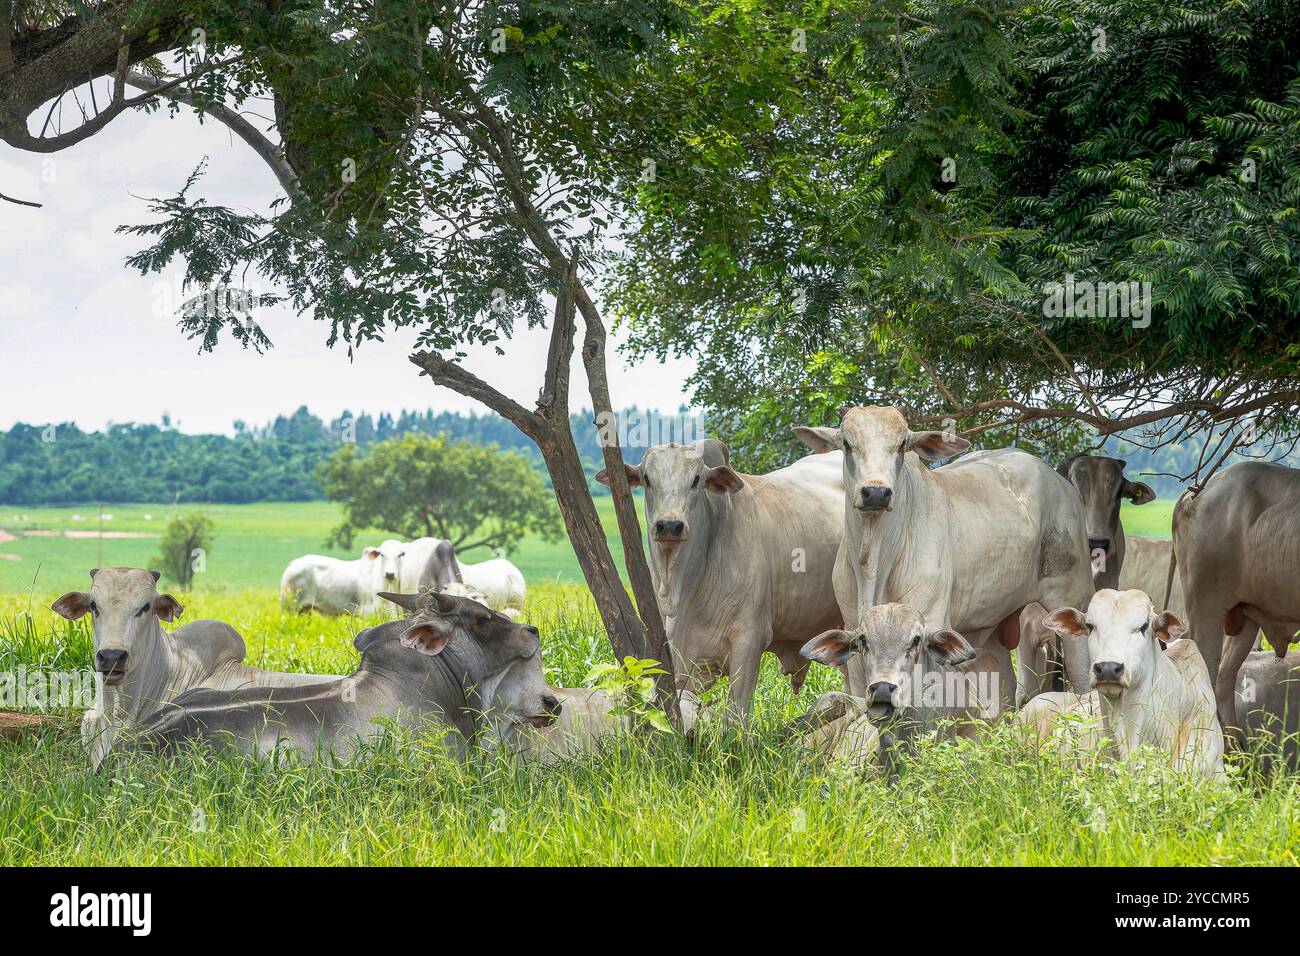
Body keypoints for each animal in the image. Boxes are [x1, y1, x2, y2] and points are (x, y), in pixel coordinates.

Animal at [794, 406, 1095, 710]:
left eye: (902, 445)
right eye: (846, 443)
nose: (876, 492)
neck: (874, 561)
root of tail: (1059, 480)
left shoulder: (930, 624)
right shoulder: (854, 634)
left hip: (1074, 600)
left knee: (1081, 673)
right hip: (988, 629)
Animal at [1173, 460, 1300, 742]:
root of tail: (1193, 492)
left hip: (1245, 617)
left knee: (1224, 678)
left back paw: (1235, 746)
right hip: (1204, 607)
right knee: (1207, 672)